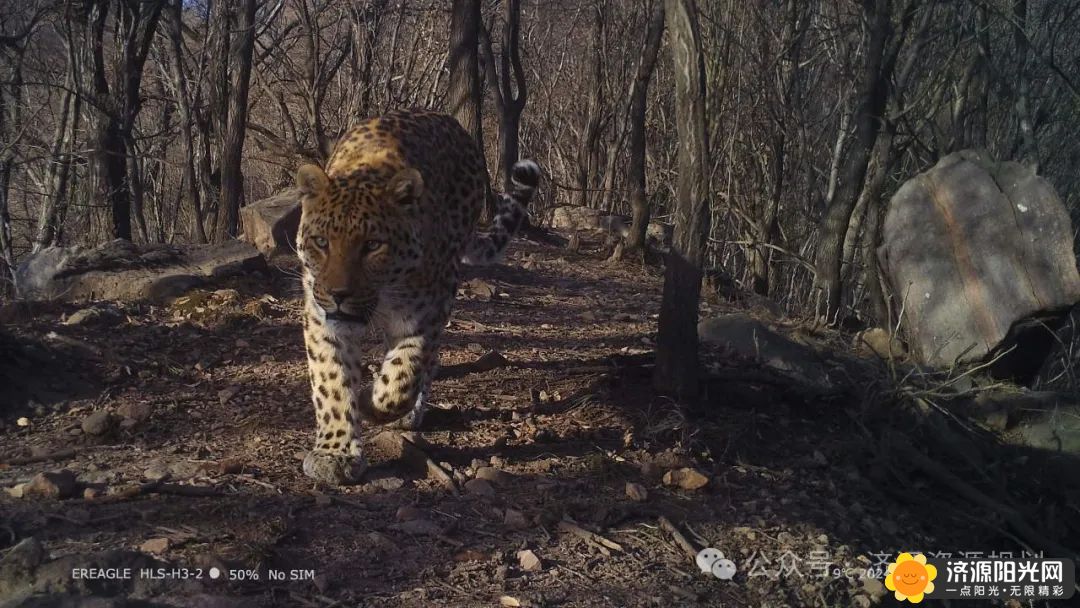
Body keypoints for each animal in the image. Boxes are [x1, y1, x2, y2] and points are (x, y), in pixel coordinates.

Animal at [291, 109, 540, 485]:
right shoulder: (320, 318)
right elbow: (331, 381)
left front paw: (370, 402)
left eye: (372, 245)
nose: (338, 295)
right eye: (321, 242)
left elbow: (401, 379)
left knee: (428, 362)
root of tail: (448, 120)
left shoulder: (425, 312)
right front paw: (335, 453)